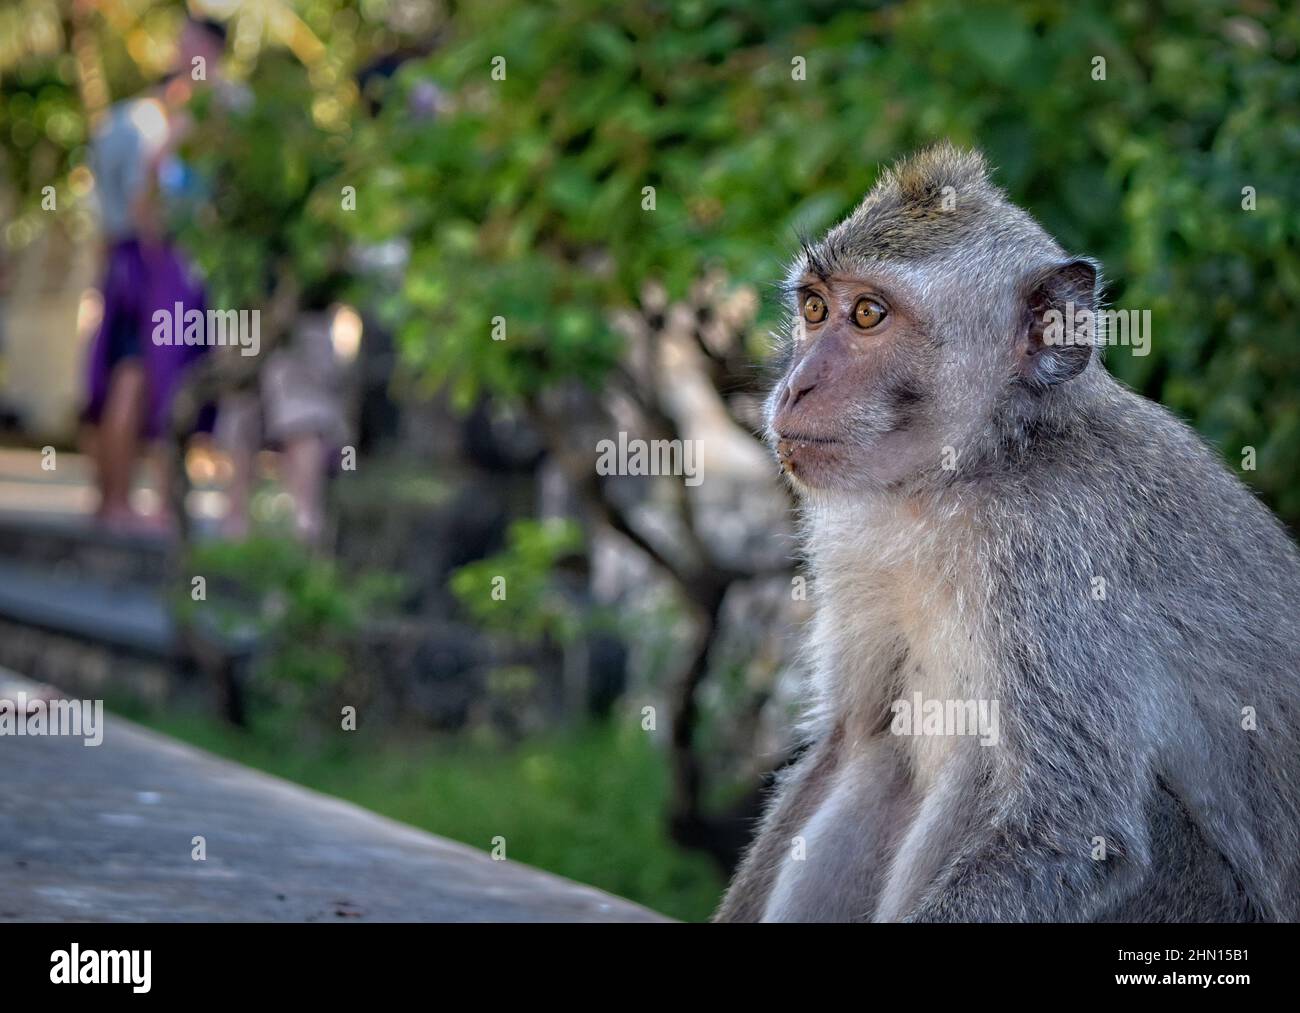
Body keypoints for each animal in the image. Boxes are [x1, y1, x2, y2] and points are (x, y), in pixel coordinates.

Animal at [714, 142, 1300, 922]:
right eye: (814, 308)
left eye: (868, 314)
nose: (794, 387)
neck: (969, 473)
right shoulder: (851, 529)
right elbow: (847, 742)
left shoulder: (1059, 550)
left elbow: (1070, 832)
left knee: (979, 768)